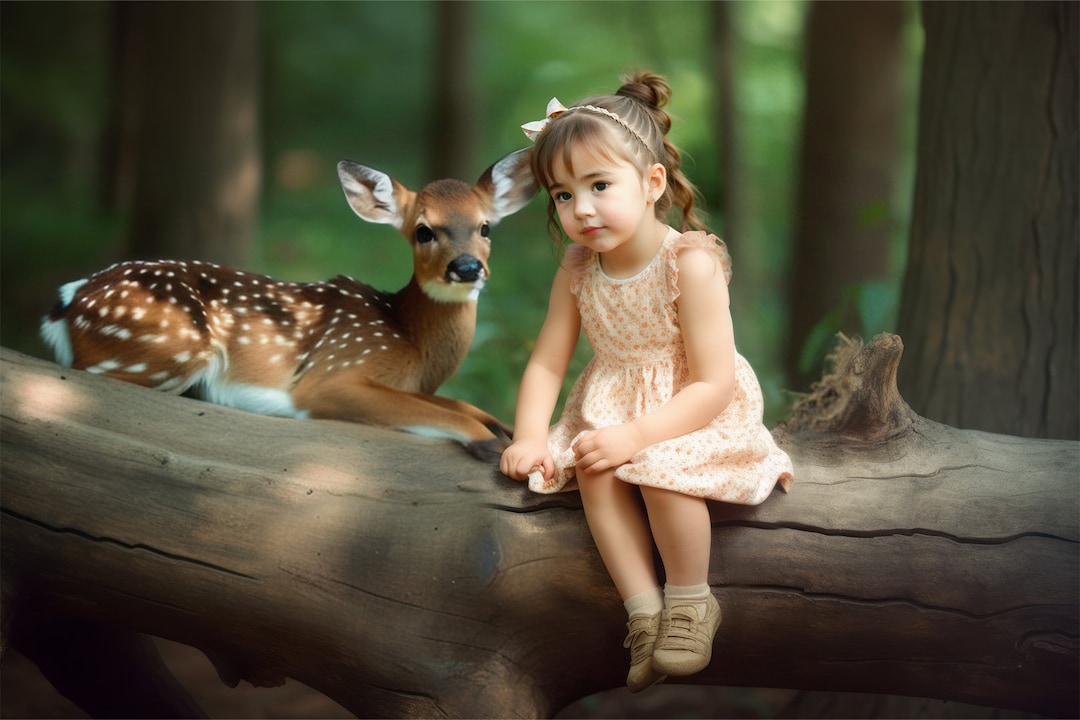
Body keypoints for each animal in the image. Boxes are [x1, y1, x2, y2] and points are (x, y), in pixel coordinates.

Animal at [40, 149, 538, 461]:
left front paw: (507, 431)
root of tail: (68, 300)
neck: (409, 340)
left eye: (485, 227)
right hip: (172, 346)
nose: (468, 267)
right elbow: (443, 414)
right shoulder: (331, 377)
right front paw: (490, 443)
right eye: (423, 231)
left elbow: (465, 405)